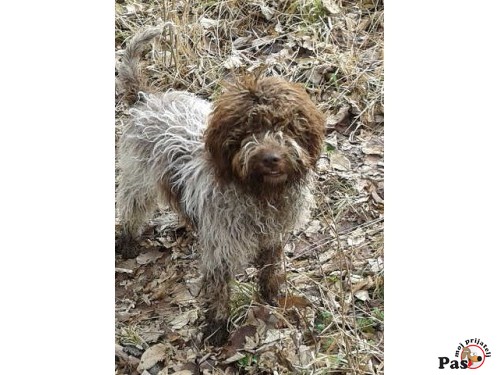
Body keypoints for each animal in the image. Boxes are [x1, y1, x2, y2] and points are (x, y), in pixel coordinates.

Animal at [116, 25, 328, 346]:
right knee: (131, 208)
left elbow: (270, 267)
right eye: (247, 131)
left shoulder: (274, 235)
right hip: (137, 181)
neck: (259, 192)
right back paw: (127, 242)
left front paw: (271, 295)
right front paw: (216, 327)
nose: (271, 158)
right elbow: (218, 288)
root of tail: (146, 99)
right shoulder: (221, 248)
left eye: (285, 126)